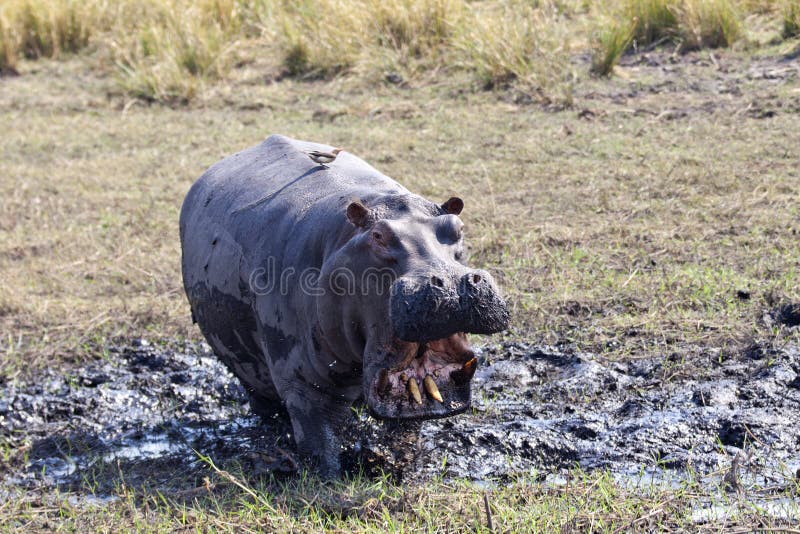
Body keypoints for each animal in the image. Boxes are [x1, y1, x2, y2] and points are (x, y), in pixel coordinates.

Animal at [179, 134, 509, 476]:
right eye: (378, 235)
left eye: (457, 227)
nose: (452, 282)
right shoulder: (303, 384)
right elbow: (319, 442)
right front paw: (327, 479)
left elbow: (405, 432)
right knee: (262, 399)